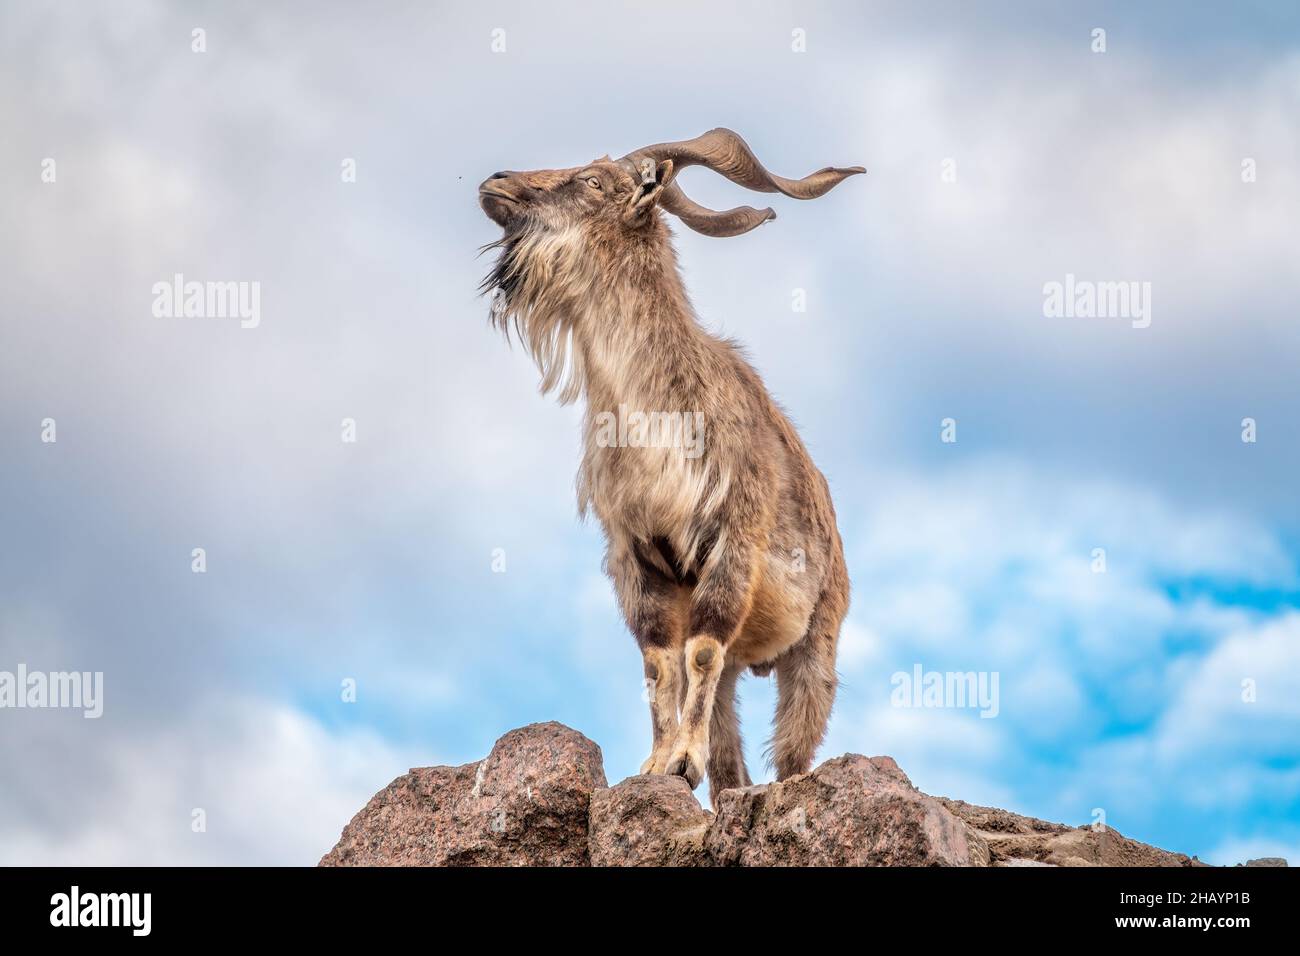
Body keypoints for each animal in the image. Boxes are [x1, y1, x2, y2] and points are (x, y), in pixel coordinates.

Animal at [479, 128, 861, 805]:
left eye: (594, 180)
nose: (495, 182)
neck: (655, 410)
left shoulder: (731, 542)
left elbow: (700, 651)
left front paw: (683, 761)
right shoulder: (638, 557)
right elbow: (661, 663)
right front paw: (658, 764)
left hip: (818, 640)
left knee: (794, 744)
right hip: (746, 667)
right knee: (732, 746)